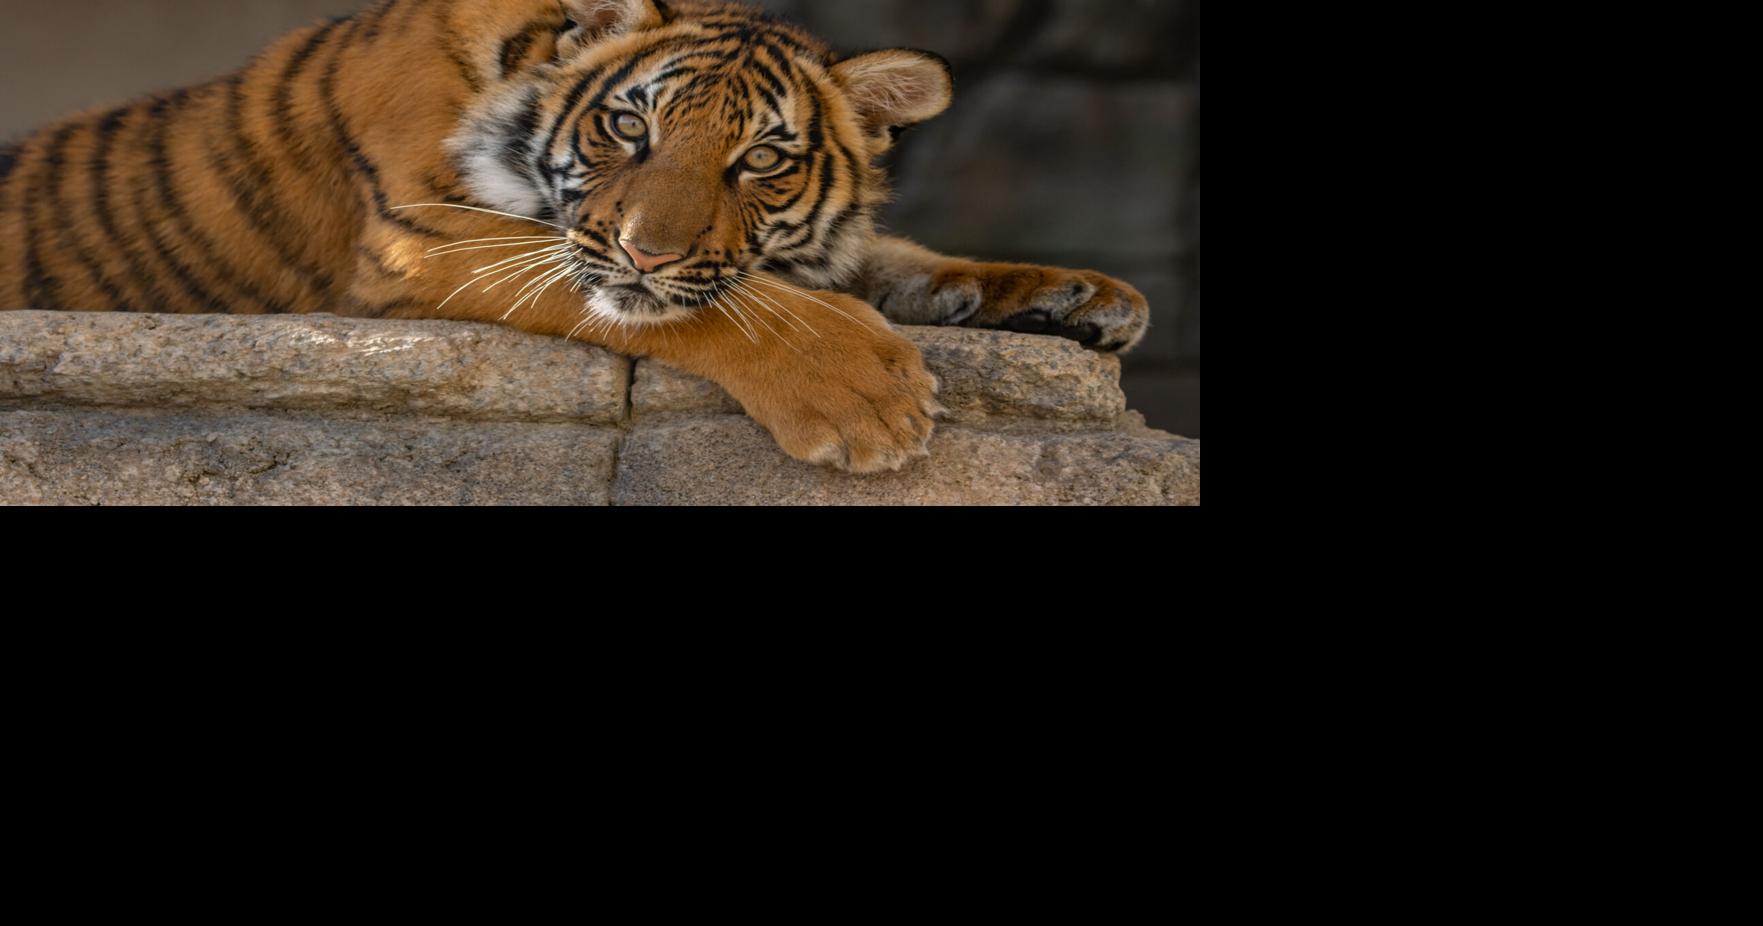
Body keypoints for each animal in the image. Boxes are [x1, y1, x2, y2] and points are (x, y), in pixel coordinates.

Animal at [0, 0, 1150, 473]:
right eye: (630, 129)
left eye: (759, 161)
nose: (647, 249)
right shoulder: (420, 232)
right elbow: (731, 306)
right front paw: (866, 399)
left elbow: (887, 256)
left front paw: (1083, 297)